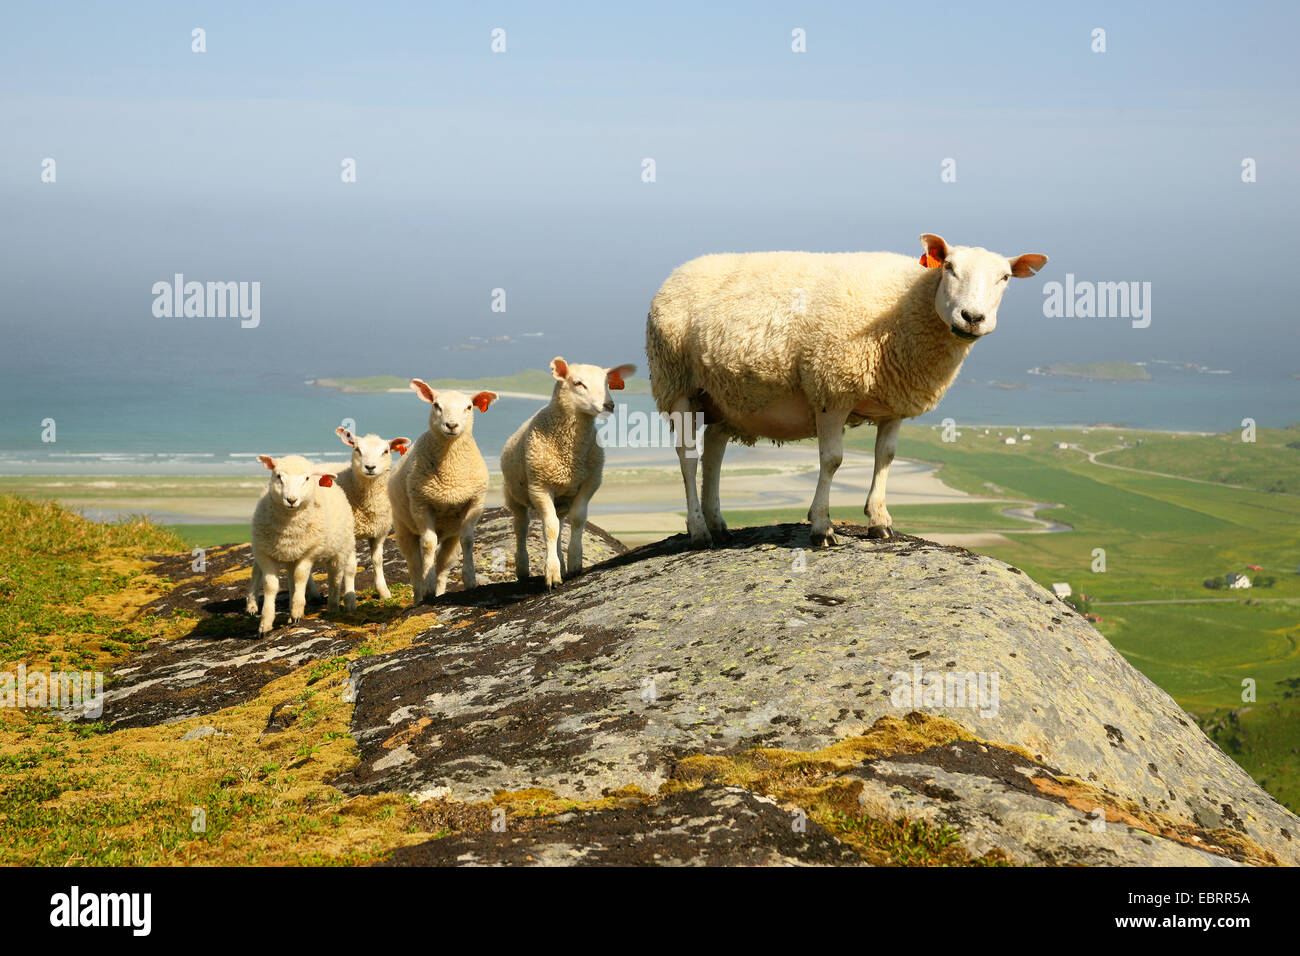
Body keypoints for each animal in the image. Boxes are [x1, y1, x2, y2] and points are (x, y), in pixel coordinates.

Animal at [245, 454, 357, 636]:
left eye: (306, 478)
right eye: (278, 476)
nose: (291, 500)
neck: (289, 529)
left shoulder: (309, 553)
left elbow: (300, 577)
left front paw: (297, 612)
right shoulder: (265, 553)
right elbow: (270, 585)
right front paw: (265, 624)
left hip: (341, 548)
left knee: (335, 575)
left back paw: (332, 607)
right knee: (261, 573)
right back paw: (254, 606)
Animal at [333, 428, 411, 600]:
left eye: (385, 451)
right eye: (357, 449)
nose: (370, 467)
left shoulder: (380, 531)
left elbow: (377, 560)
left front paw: (384, 592)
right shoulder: (350, 534)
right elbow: (351, 566)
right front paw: (350, 598)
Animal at [388, 381, 498, 602]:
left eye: (469, 407)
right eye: (436, 405)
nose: (451, 425)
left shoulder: (475, 502)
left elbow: (468, 540)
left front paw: (470, 580)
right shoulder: (421, 504)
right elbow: (428, 544)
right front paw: (428, 586)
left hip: (450, 534)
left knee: (444, 562)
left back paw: (439, 591)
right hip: (403, 527)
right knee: (414, 563)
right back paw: (420, 595)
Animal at [500, 357, 636, 588]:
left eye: (607, 383)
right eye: (578, 383)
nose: (609, 405)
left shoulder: (590, 482)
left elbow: (577, 520)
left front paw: (573, 564)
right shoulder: (539, 486)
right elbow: (549, 528)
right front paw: (552, 574)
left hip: (562, 500)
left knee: (560, 523)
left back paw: (561, 563)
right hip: (514, 496)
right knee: (521, 527)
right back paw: (523, 569)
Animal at [645, 233, 1048, 548]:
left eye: (1005, 277)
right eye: (948, 267)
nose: (972, 318)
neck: (906, 306)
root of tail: (678, 272)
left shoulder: (893, 402)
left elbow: (886, 456)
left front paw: (879, 521)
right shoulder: (830, 388)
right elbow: (833, 460)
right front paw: (821, 526)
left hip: (726, 395)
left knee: (714, 452)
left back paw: (718, 524)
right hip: (677, 383)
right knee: (689, 457)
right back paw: (699, 531)